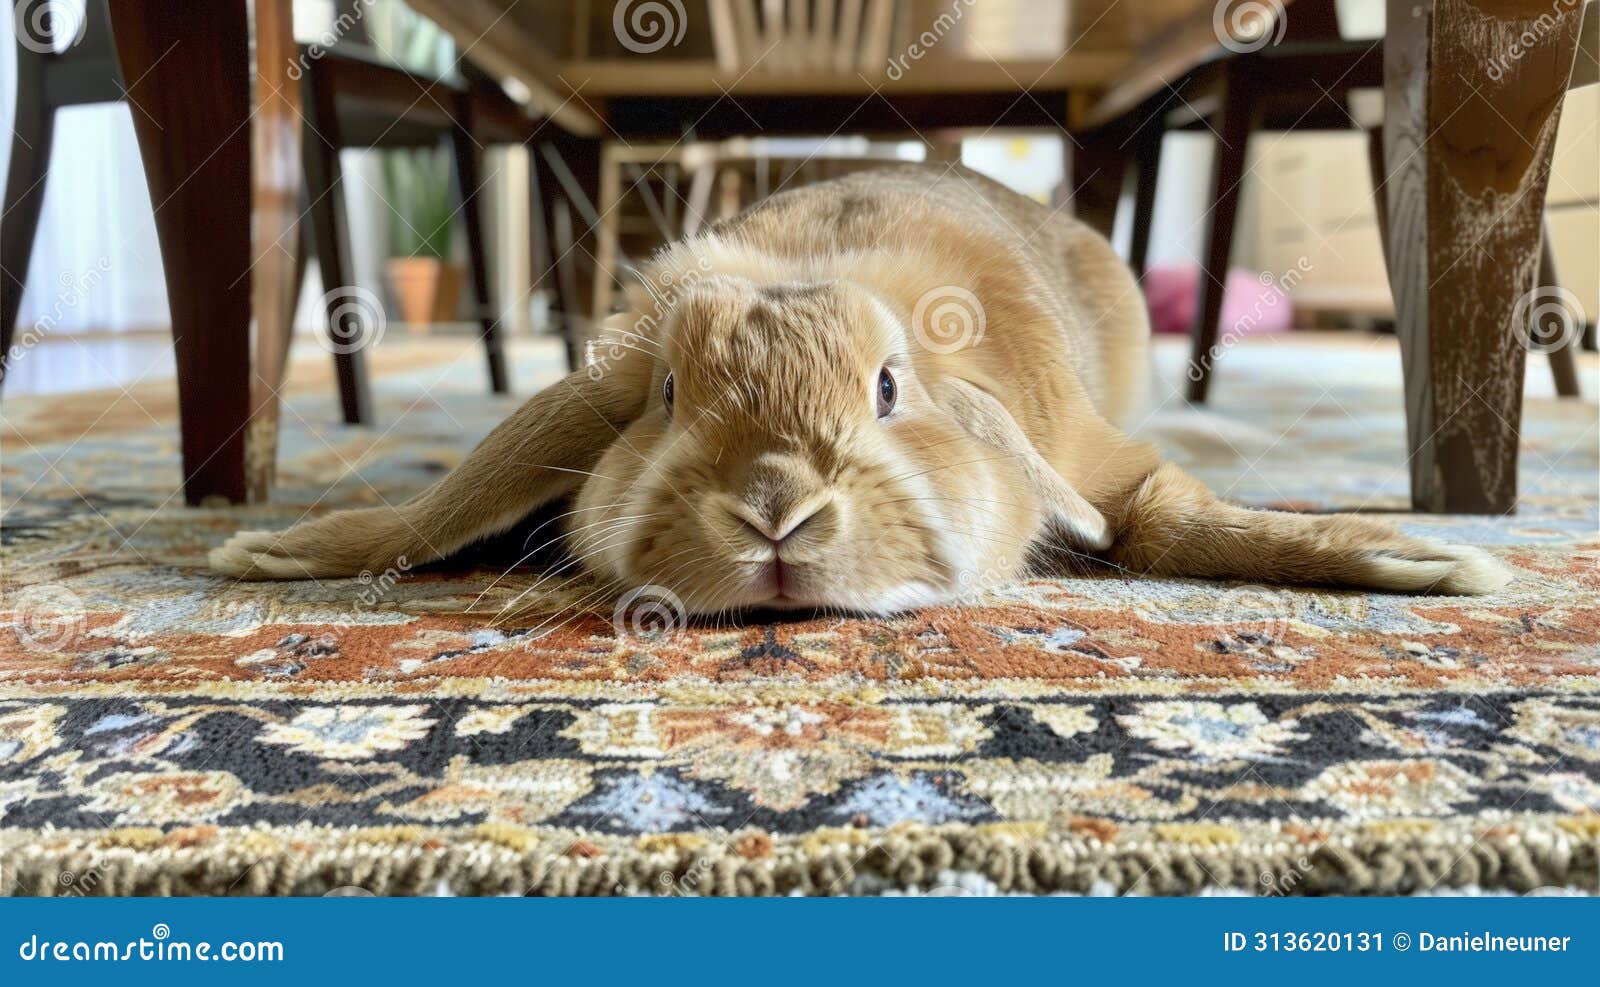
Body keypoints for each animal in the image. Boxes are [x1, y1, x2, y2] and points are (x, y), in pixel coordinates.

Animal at [210, 164, 1509, 614]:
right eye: (667, 392)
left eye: (890, 388)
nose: (774, 511)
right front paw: (287, 547)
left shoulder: (1101, 459)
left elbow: (1163, 522)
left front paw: (1425, 558)